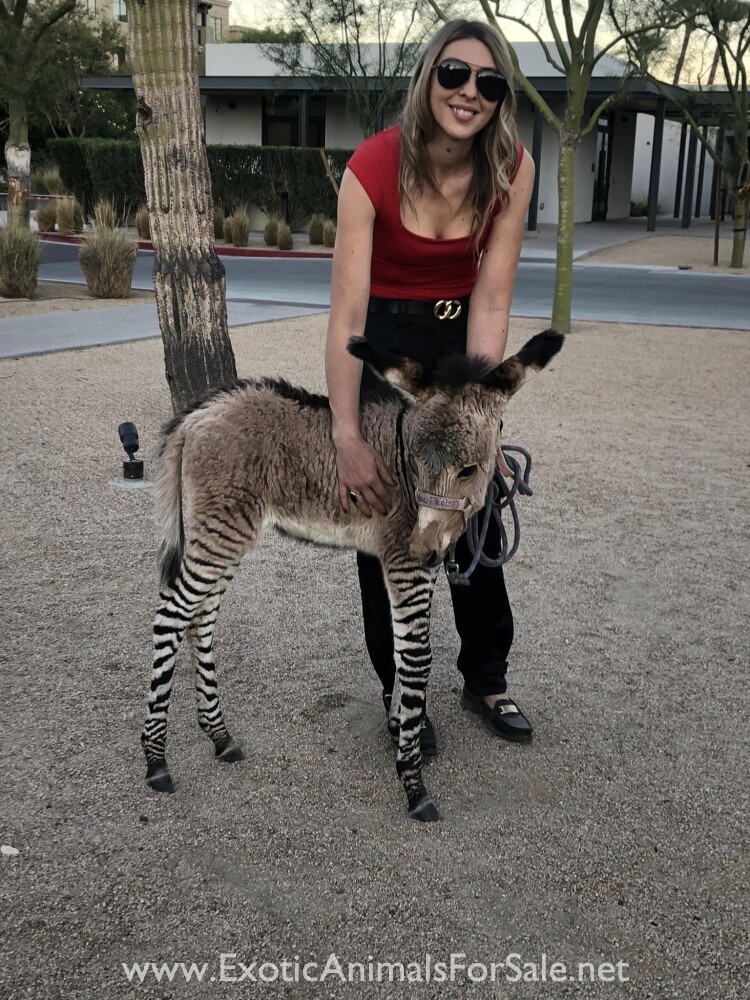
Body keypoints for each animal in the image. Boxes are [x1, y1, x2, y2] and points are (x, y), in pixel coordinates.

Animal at [141, 329, 563, 821]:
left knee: (199, 620)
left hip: (226, 533)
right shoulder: (403, 562)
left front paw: (403, 727)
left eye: (468, 469)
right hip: (222, 529)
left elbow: (404, 654)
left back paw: (220, 737)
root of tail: (198, 413)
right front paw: (414, 783)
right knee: (170, 617)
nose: (425, 549)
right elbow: (417, 659)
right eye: (414, 460)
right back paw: (156, 761)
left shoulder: (418, 565)